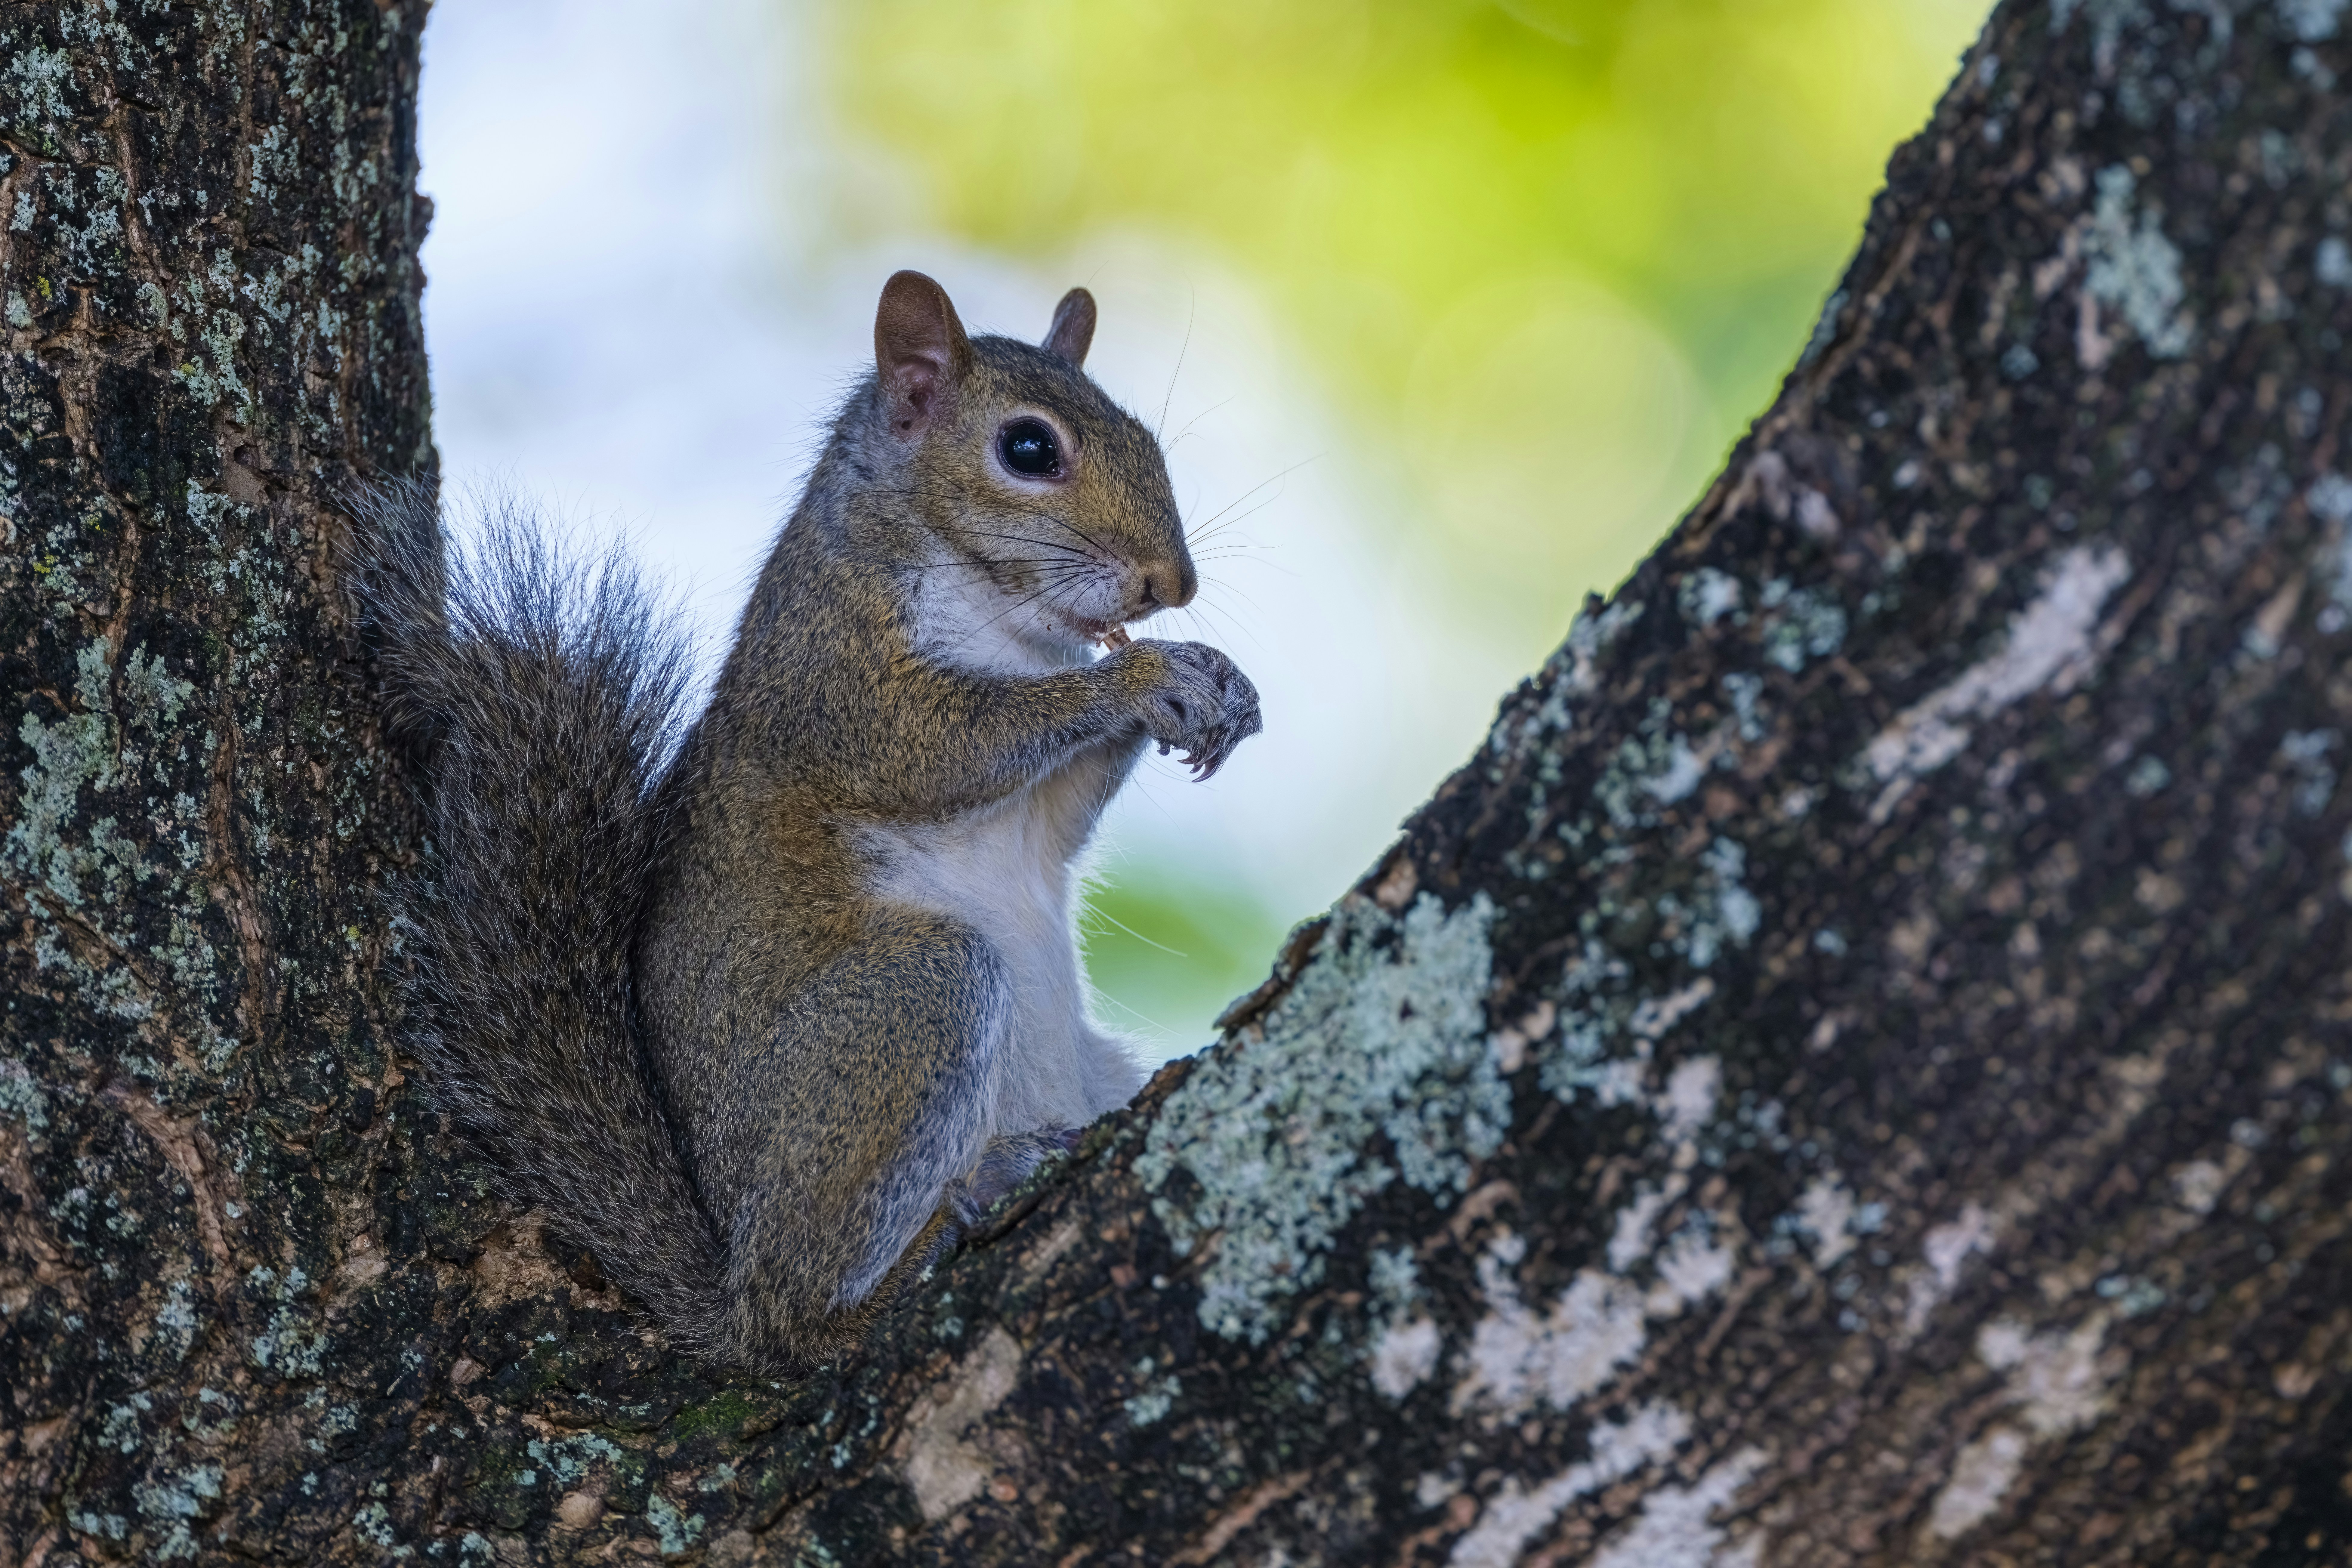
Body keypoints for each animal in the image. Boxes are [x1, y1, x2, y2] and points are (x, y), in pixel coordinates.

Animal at [353, 271, 1263, 1373]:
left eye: (1146, 436)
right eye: (1029, 449)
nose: (1171, 585)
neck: (1001, 615)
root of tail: (725, 1301)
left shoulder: (1029, 802)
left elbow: (1055, 816)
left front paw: (1215, 681)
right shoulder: (835, 684)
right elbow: (941, 749)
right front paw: (1143, 676)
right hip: (906, 1005)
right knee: (795, 1315)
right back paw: (930, 1237)